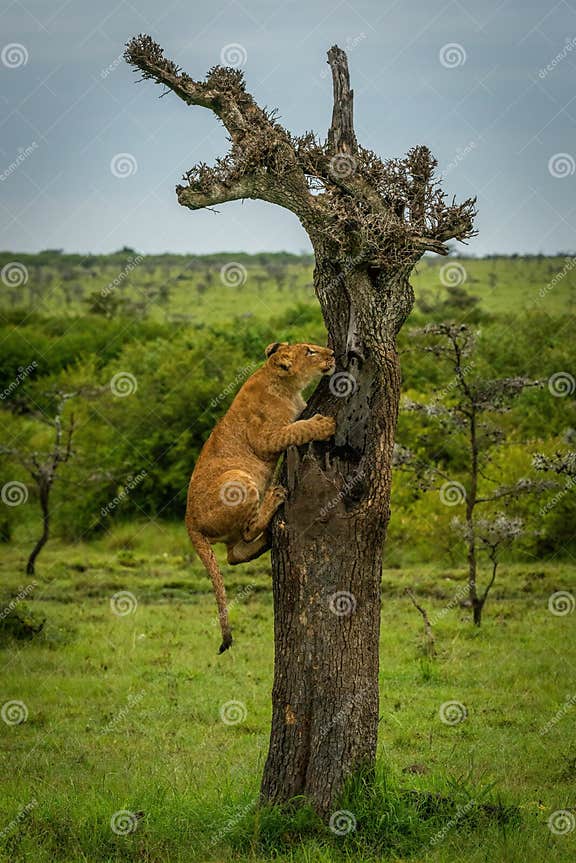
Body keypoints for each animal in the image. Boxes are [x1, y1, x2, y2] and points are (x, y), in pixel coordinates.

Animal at [185, 341, 336, 653]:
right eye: (310, 351)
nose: (332, 354)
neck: (285, 386)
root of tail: (188, 522)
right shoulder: (265, 438)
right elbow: (298, 428)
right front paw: (325, 425)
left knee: (233, 555)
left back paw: (266, 538)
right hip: (239, 478)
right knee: (244, 533)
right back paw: (274, 499)